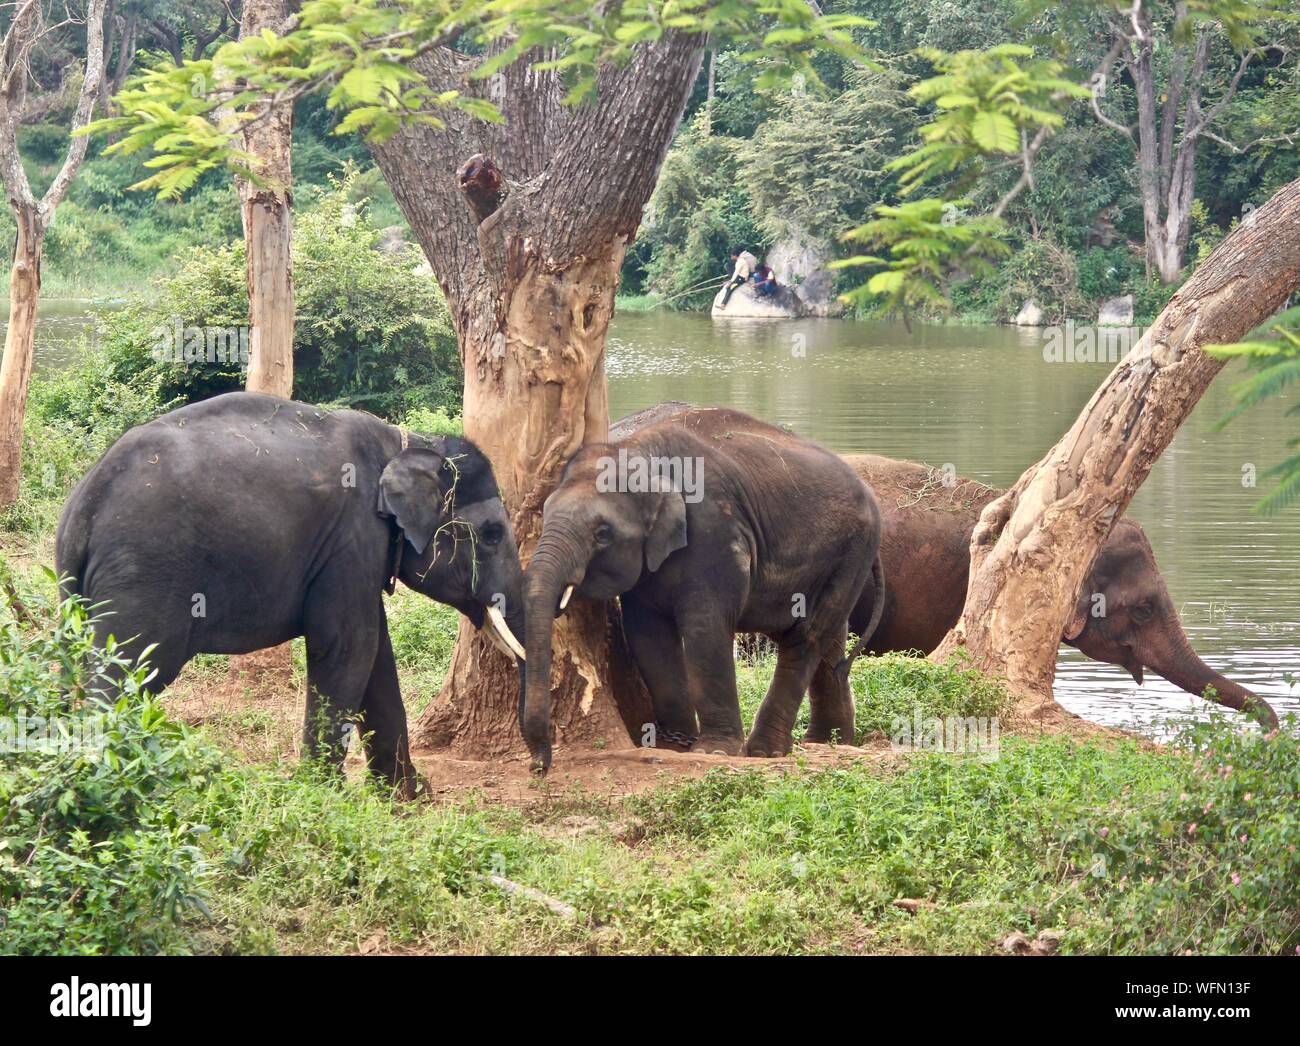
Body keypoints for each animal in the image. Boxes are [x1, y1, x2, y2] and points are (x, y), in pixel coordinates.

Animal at [56, 391, 526, 795]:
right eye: (492, 535)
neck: (405, 441)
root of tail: (86, 505)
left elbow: (377, 656)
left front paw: (407, 796)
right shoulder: (352, 535)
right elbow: (348, 647)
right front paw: (323, 796)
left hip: (73, 590)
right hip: (145, 576)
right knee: (125, 672)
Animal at [521, 405, 885, 771]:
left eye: (602, 534)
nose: (539, 765)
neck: (638, 450)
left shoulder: (714, 532)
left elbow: (704, 629)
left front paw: (714, 751)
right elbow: (647, 635)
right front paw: (675, 746)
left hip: (853, 552)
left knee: (805, 638)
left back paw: (766, 751)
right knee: (831, 640)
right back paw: (828, 741)